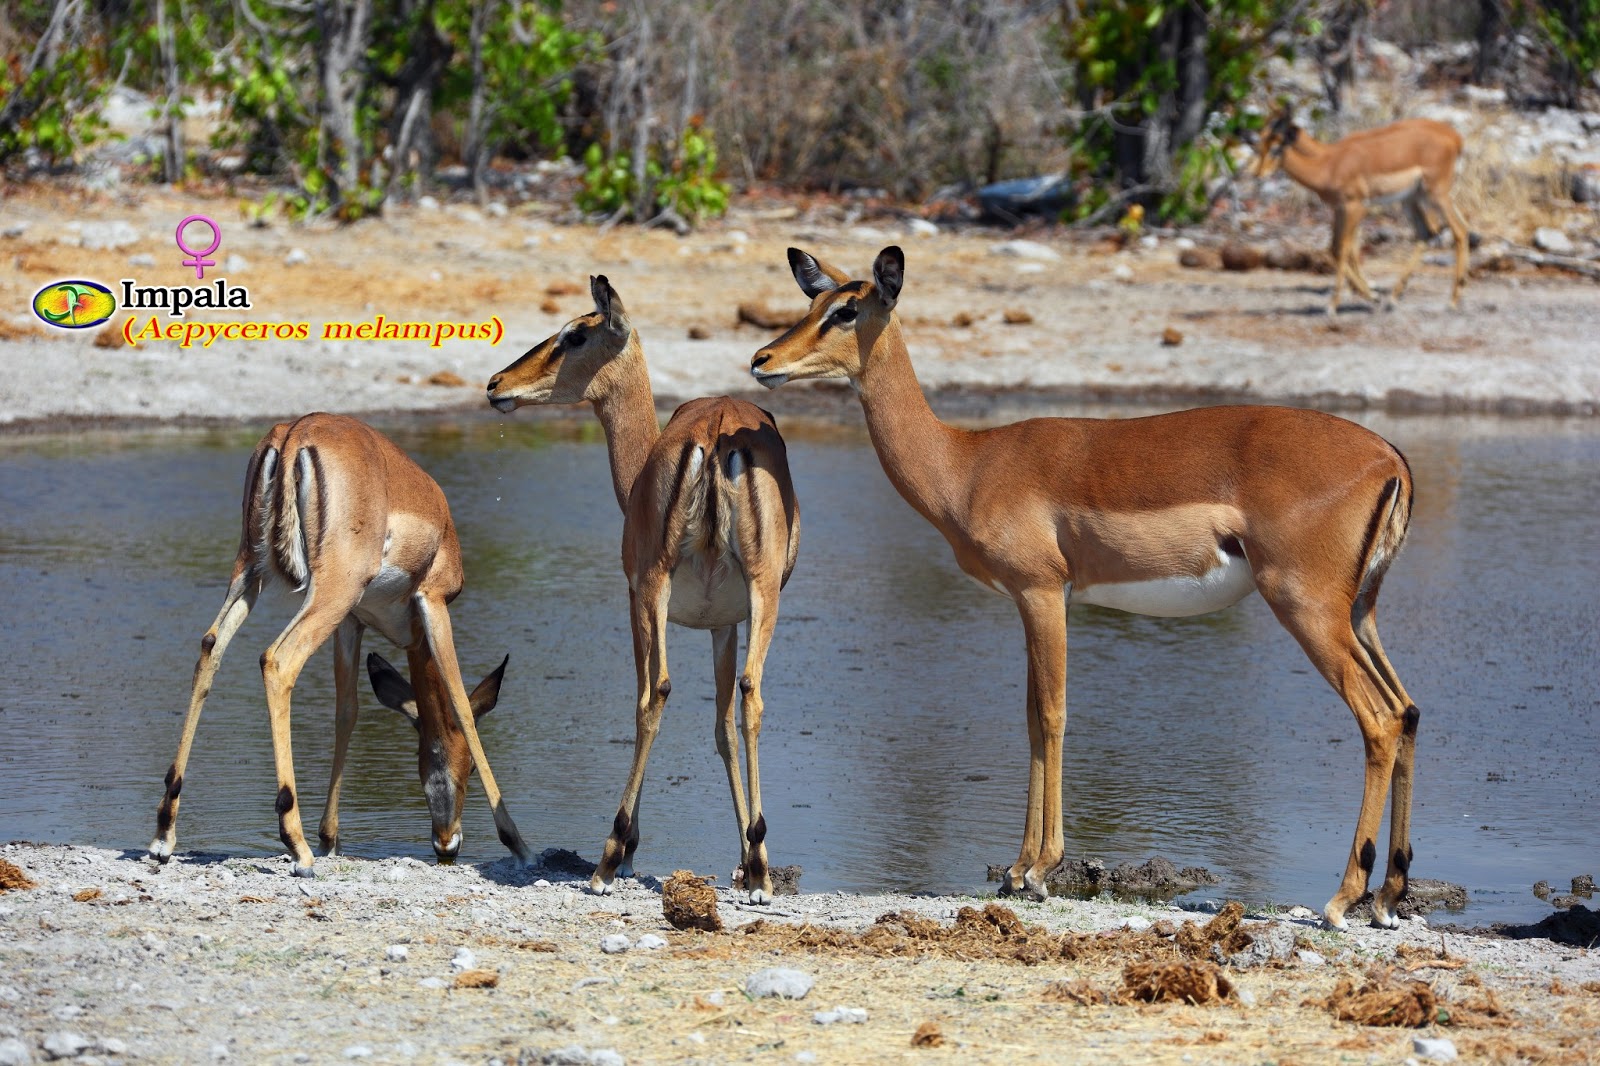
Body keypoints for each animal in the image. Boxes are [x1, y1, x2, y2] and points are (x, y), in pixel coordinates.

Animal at [148, 413, 532, 875]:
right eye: (470, 768)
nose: (446, 844)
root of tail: (296, 433)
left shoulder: (352, 621)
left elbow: (347, 711)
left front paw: (330, 838)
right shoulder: (434, 602)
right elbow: (461, 705)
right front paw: (520, 845)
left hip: (251, 572)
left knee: (210, 647)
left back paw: (164, 835)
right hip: (331, 589)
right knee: (277, 659)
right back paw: (297, 848)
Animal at [486, 276, 800, 903]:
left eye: (574, 334)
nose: (496, 385)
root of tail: (716, 433)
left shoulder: (635, 597)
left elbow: (647, 700)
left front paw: (627, 853)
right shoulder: (725, 620)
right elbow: (724, 726)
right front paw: (744, 859)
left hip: (655, 587)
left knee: (656, 693)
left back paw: (607, 861)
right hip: (763, 594)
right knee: (751, 694)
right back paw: (759, 867)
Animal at [751, 246, 1420, 931]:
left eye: (846, 310)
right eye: (812, 300)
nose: (762, 360)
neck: (967, 465)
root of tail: (1390, 459)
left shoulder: (1042, 592)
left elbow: (1052, 713)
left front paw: (1040, 871)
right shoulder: (1035, 601)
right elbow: (1029, 717)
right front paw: (1017, 870)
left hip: (1306, 607)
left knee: (1379, 718)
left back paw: (1341, 900)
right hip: (1359, 613)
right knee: (1409, 710)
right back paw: (1387, 898)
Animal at [1254, 106, 1469, 316]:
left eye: (1275, 149)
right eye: (1260, 145)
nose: (1257, 174)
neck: (1328, 164)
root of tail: (1455, 138)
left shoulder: (1356, 207)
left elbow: (1344, 248)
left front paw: (1333, 306)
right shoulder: (1339, 209)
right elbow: (1334, 248)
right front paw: (1371, 296)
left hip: (1435, 196)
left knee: (1459, 231)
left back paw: (1452, 302)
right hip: (1412, 199)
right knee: (1428, 234)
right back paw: (1393, 299)